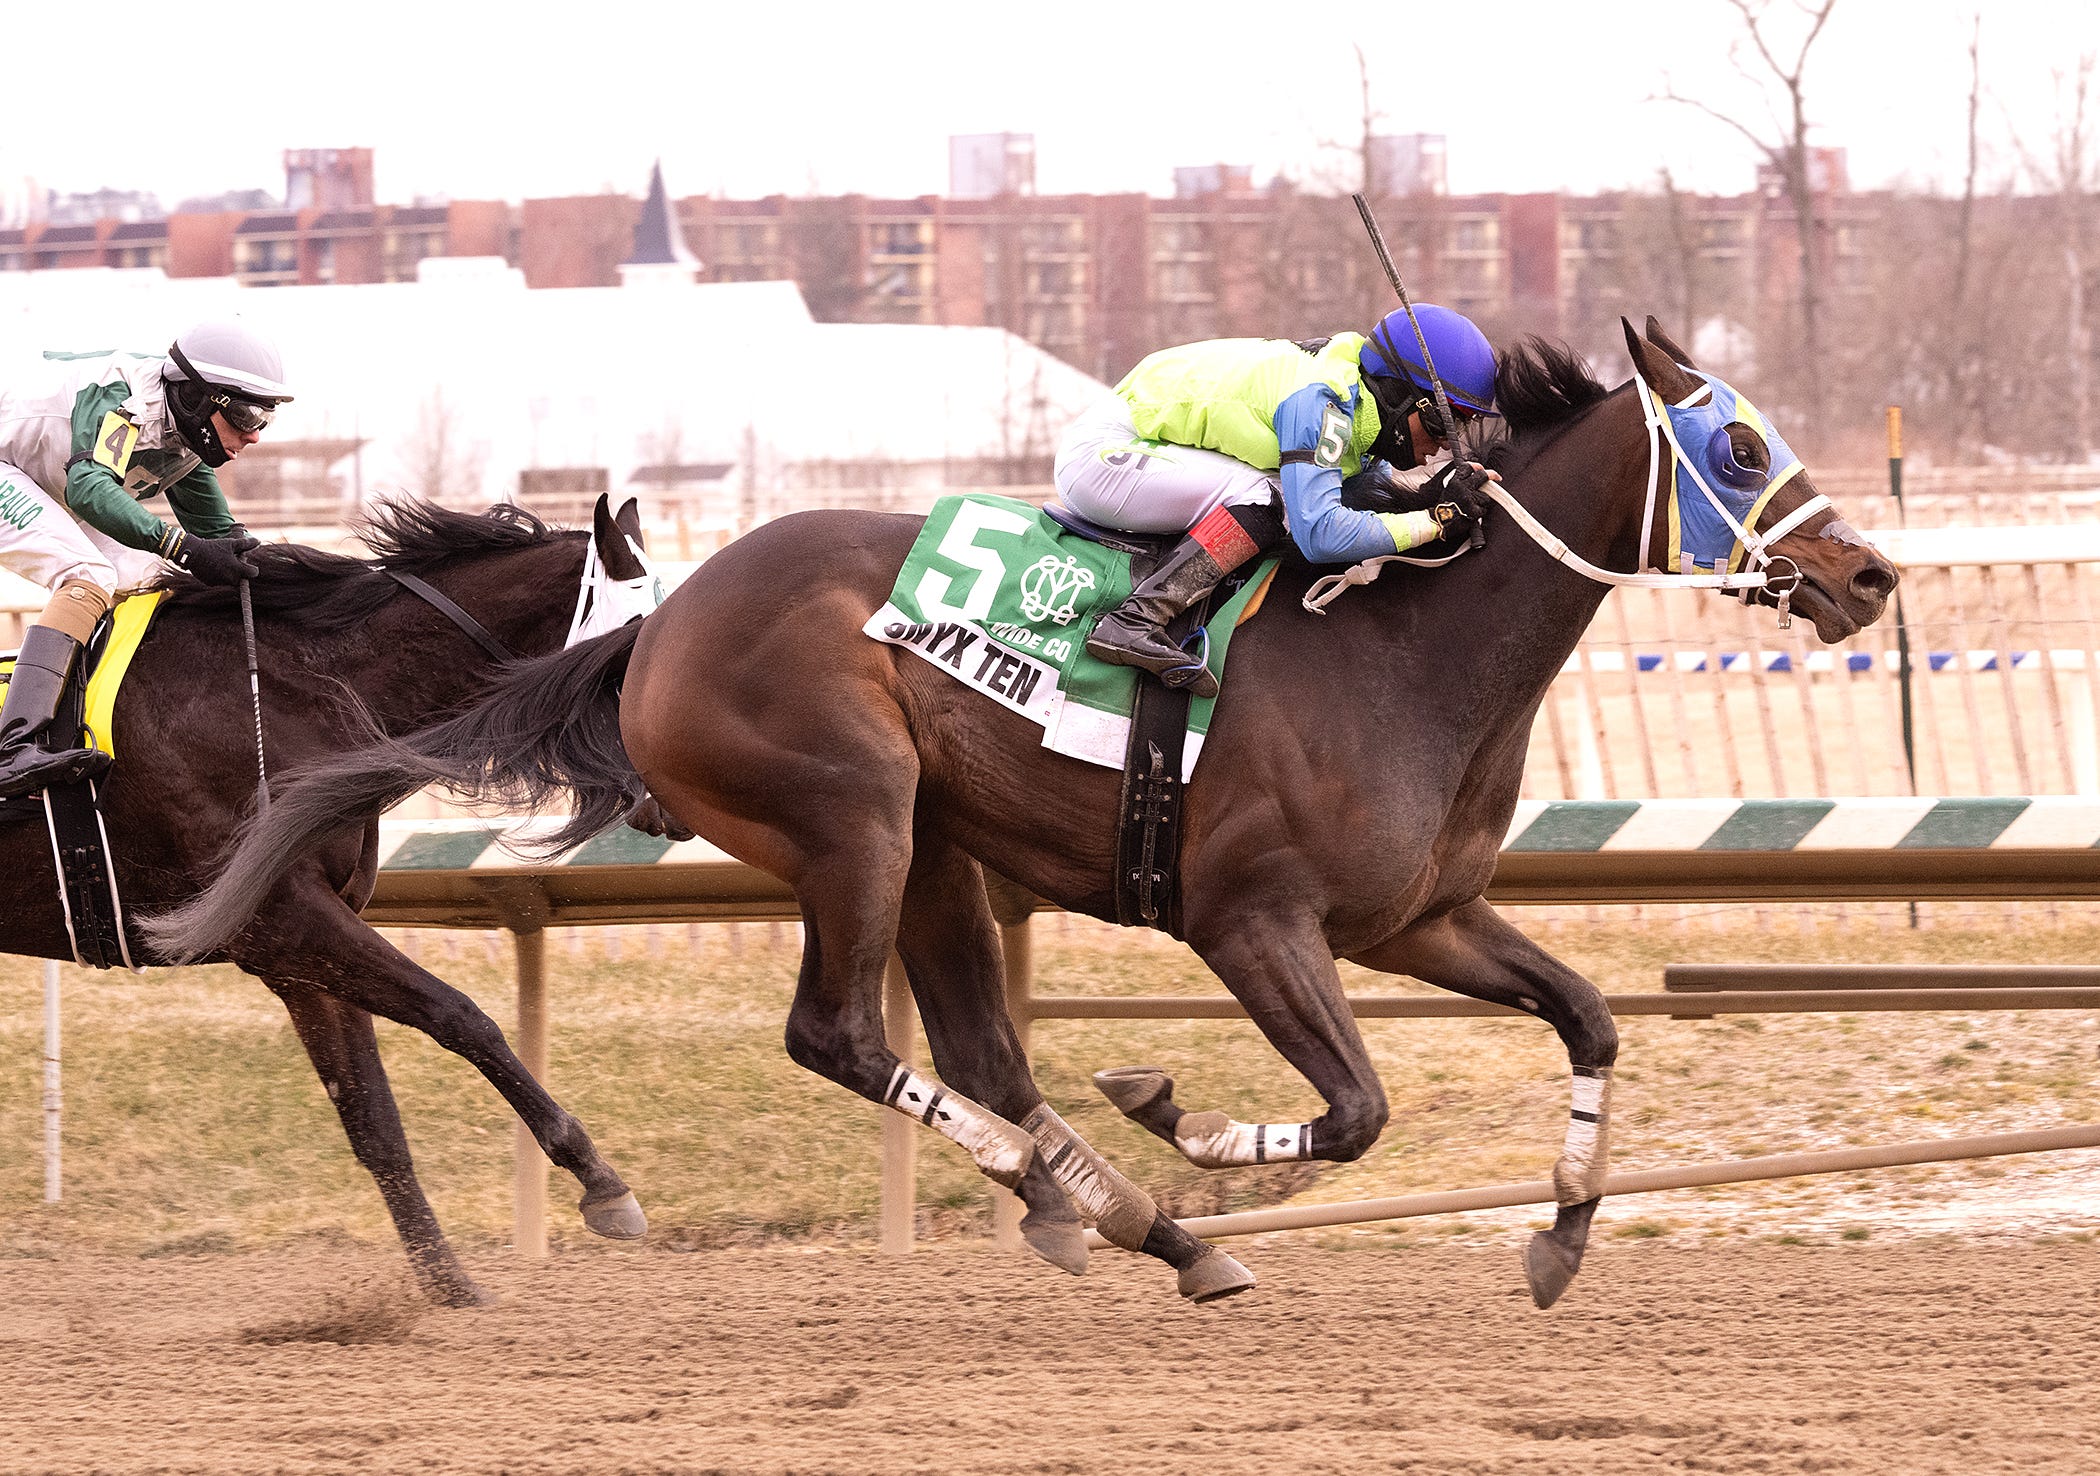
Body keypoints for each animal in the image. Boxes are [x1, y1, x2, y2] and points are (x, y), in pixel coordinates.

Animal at [17, 496, 660, 1306]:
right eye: (634, 648)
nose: (671, 788)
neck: (291, 691)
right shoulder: (283, 921)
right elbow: (461, 1015)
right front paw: (601, 1182)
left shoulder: (302, 954)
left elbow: (374, 1120)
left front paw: (450, 1287)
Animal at [150, 320, 1897, 1308]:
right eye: (1738, 439)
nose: (1870, 575)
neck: (1409, 648)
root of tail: (656, 625)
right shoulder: (1254, 922)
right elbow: (1353, 1111)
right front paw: (1175, 1111)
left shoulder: (1424, 918)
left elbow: (1591, 1019)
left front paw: (1559, 1243)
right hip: (854, 820)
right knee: (842, 1036)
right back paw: (1107, 1207)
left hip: (938, 849)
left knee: (976, 1054)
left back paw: (1128, 1227)